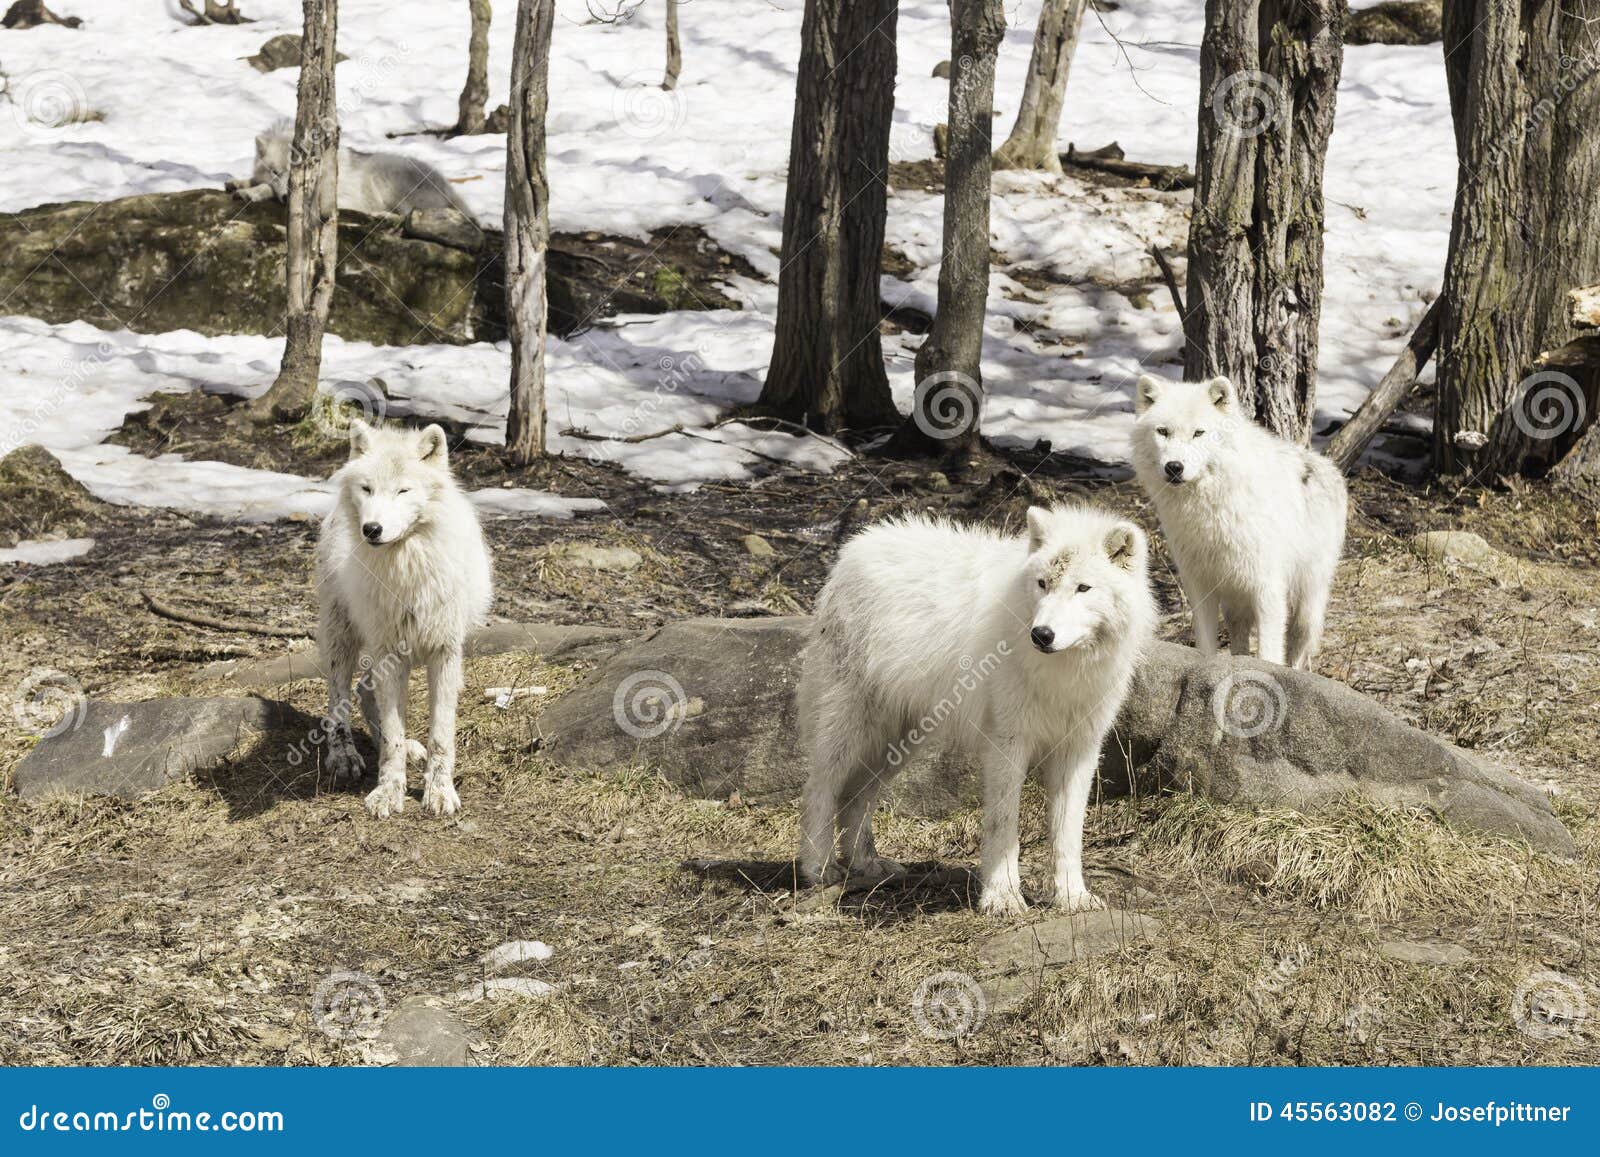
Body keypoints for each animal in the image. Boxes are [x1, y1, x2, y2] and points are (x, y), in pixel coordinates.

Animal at [229, 130, 472, 217]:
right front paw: (239, 183)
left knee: (404, 215)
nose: (288, 197)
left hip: (383, 177)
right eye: (275, 172)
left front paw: (251, 192)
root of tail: (448, 186)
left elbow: (266, 188)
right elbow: (259, 181)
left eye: (297, 173)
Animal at [316, 419, 493, 819]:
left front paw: (439, 792)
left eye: (402, 490)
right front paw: (389, 792)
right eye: (367, 489)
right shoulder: (388, 651)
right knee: (340, 696)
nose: (372, 529)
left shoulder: (445, 652)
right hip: (342, 636)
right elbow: (393, 738)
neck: (407, 565)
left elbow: (441, 735)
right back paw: (344, 755)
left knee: (366, 690)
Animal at [796, 506, 1156, 915]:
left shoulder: (1079, 748)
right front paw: (1002, 897)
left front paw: (1071, 896)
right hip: (852, 728)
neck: (1064, 671)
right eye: (1042, 584)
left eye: (1083, 588)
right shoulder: (1008, 741)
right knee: (819, 788)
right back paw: (819, 868)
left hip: (899, 743)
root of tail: (853, 548)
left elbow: (1067, 833)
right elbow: (1002, 824)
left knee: (854, 798)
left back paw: (866, 863)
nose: (1041, 635)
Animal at [1130, 374, 1347, 669]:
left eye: (1199, 433)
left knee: (1298, 649)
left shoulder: (1267, 588)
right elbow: (1205, 646)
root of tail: (1329, 467)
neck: (1210, 509)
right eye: (1162, 431)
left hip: (1307, 602)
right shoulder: (1199, 586)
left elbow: (1268, 653)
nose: (1174, 467)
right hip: (1236, 602)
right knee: (1240, 639)